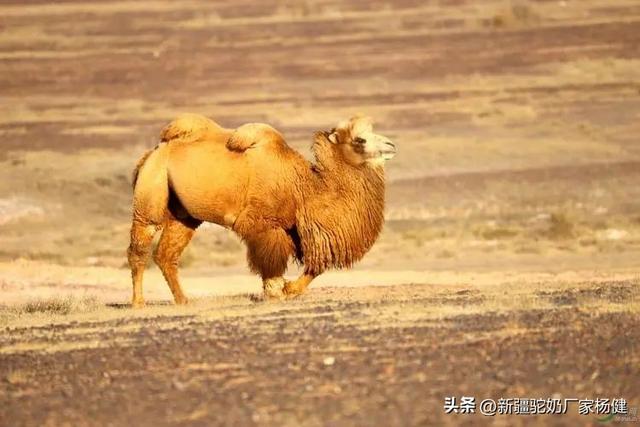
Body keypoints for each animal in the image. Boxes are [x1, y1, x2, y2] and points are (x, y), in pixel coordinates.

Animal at [127, 114, 396, 307]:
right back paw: (139, 303)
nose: (392, 145)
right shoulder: (264, 225)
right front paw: (276, 293)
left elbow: (315, 268)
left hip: (184, 215)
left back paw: (183, 300)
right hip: (151, 195)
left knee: (166, 255)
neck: (303, 187)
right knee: (139, 249)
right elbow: (272, 263)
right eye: (360, 140)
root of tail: (155, 150)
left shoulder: (296, 230)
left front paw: (289, 290)